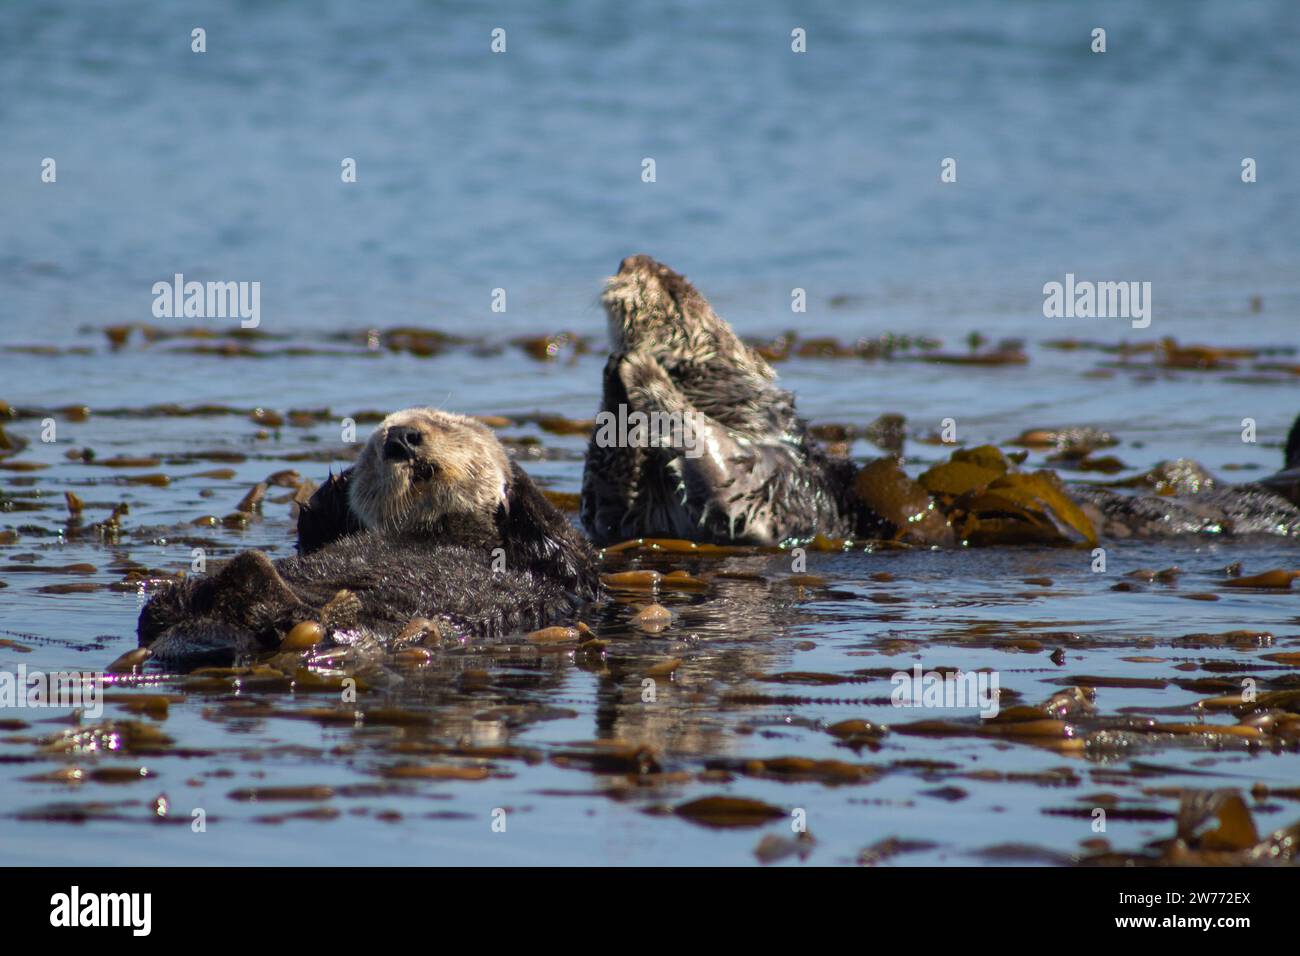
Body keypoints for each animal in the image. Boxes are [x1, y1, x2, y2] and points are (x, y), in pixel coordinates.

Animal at [140, 408, 601, 666]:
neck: (442, 530)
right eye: (377, 446)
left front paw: (510, 481)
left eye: (444, 424)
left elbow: (571, 554)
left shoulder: (567, 577)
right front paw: (334, 487)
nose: (401, 438)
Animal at [581, 254, 866, 546]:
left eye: (671, 289)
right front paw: (615, 379)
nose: (629, 260)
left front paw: (640, 365)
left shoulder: (766, 481)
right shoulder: (627, 516)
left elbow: (723, 469)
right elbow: (606, 510)